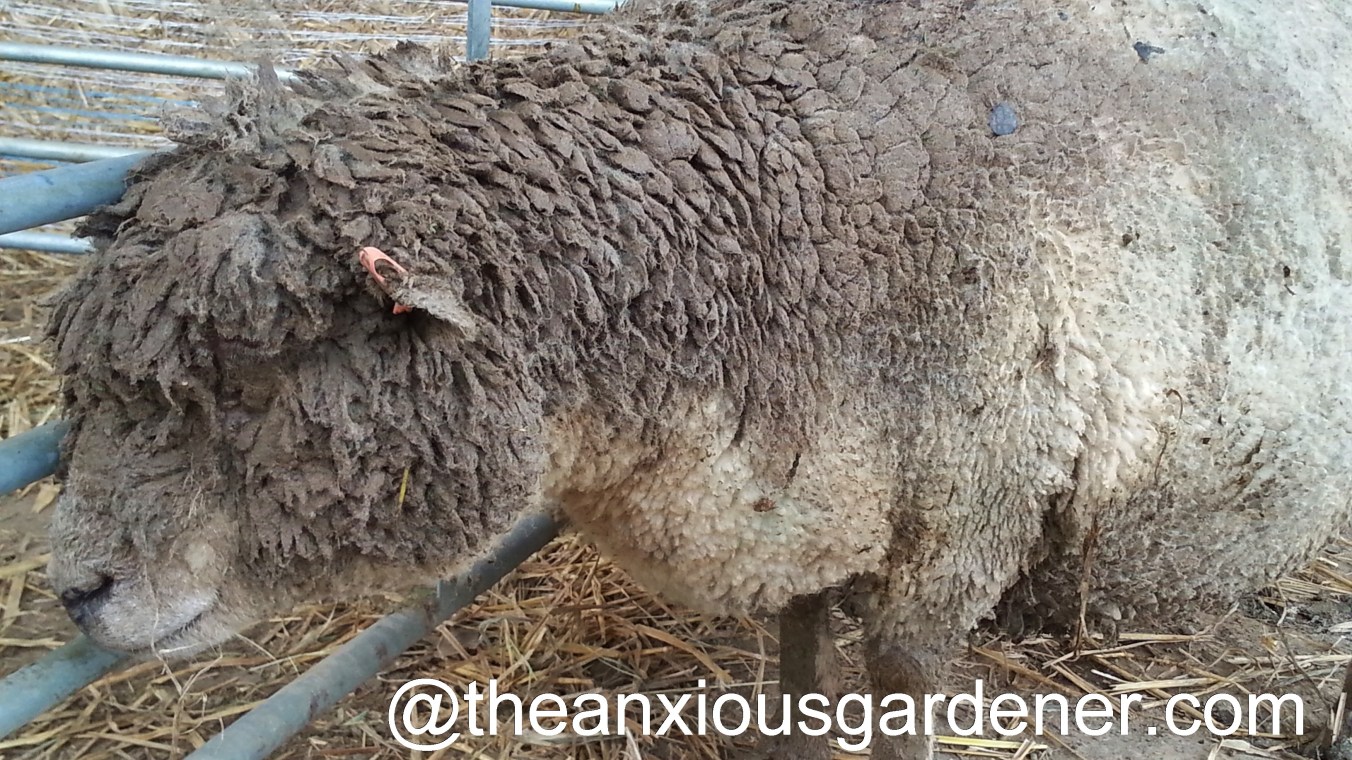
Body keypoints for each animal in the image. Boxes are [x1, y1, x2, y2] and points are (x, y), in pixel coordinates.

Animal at [43, 0, 1352, 757]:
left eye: (257, 376)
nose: (75, 591)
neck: (778, 205)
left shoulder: (970, 501)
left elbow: (899, 677)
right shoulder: (805, 482)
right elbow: (798, 645)